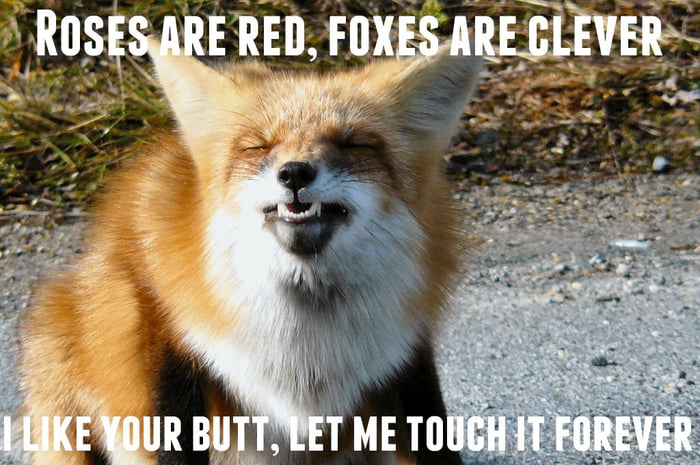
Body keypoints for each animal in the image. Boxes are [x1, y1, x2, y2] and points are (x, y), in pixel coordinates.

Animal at [20, 38, 481, 465]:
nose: (294, 173)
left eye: (353, 144)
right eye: (258, 146)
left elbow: (432, 438)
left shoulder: (406, 354)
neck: (305, 340)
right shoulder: (160, 327)